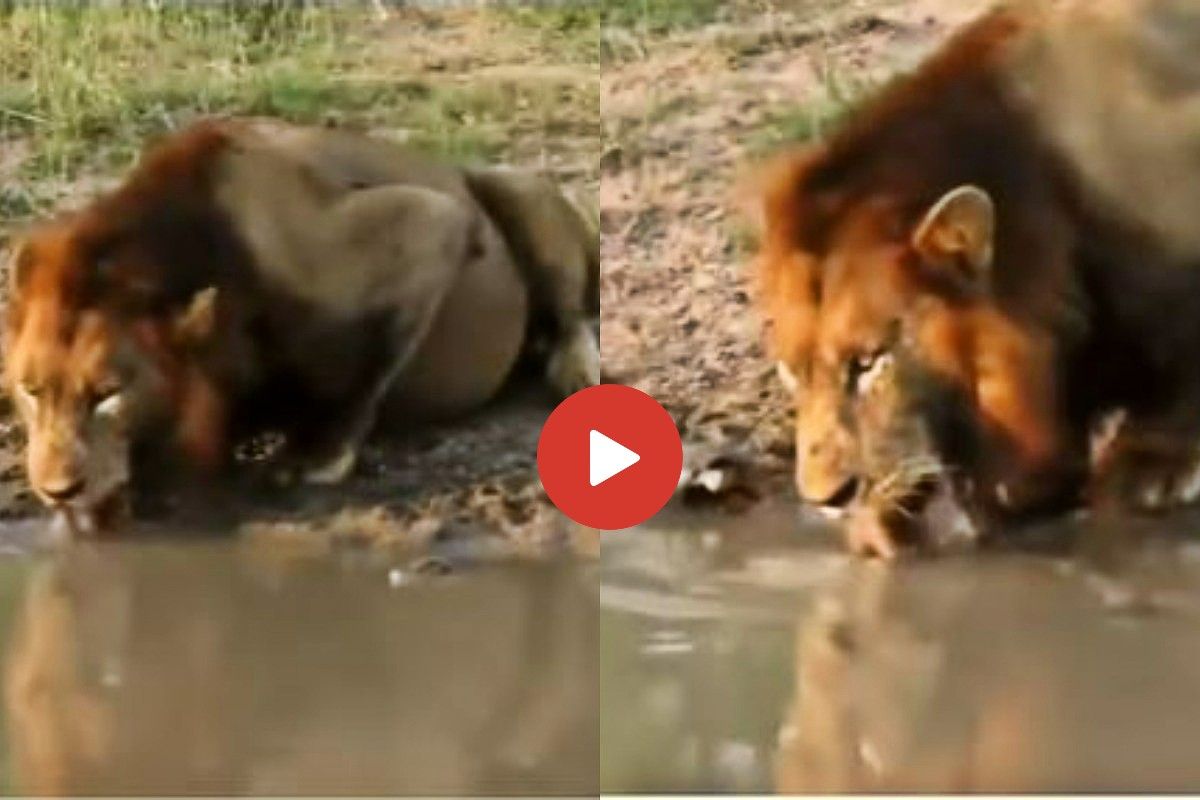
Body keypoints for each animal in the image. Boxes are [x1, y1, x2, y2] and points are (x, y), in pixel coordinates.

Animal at [3, 118, 599, 535]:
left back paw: (573, 373)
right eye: (30, 390)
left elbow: (368, 368)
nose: (58, 489)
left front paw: (311, 458)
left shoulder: (430, 222)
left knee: (575, 312)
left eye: (108, 392)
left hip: (516, 186)